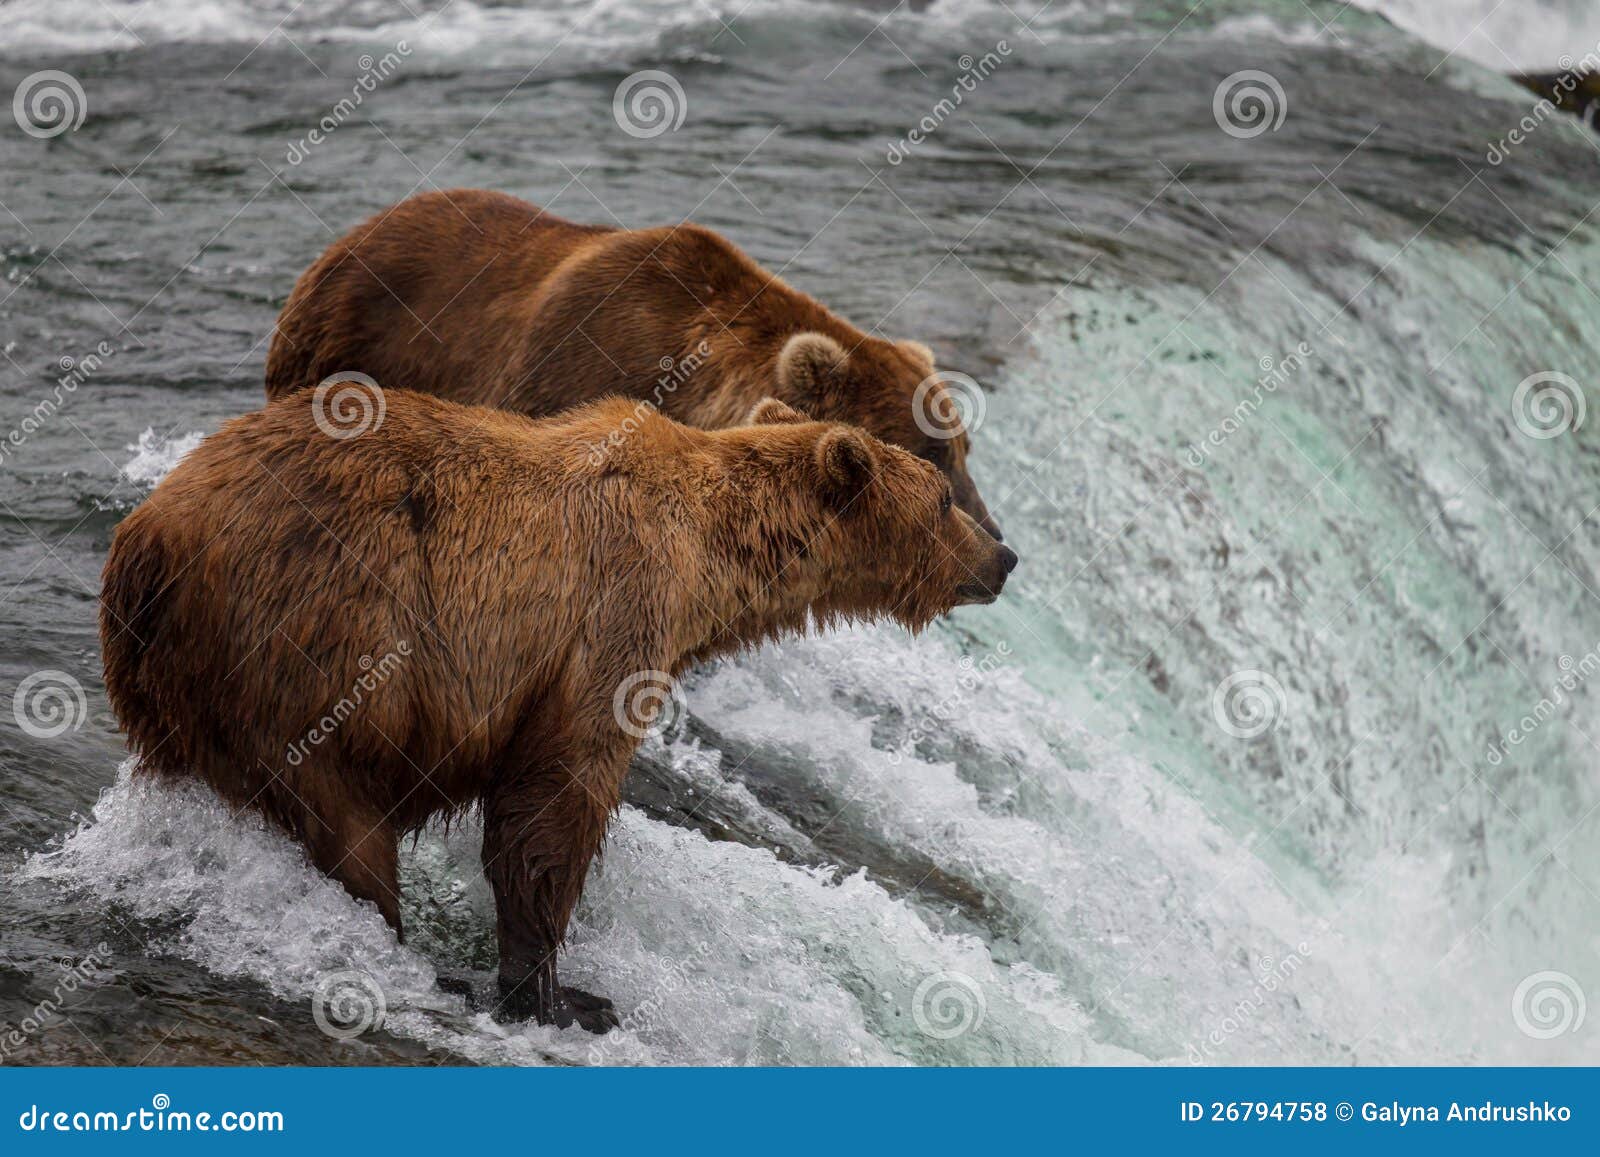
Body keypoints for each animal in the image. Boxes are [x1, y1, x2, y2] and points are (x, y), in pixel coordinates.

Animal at [98, 383, 1017, 1031]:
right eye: (942, 497)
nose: (1003, 556)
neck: (707, 560)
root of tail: (147, 541)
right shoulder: (610, 617)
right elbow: (554, 798)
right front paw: (559, 991)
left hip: (171, 693)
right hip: (314, 646)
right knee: (347, 821)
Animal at [263, 188, 1002, 540]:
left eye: (964, 446)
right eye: (930, 452)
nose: (999, 534)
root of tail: (349, 235)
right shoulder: (567, 375)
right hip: (340, 353)